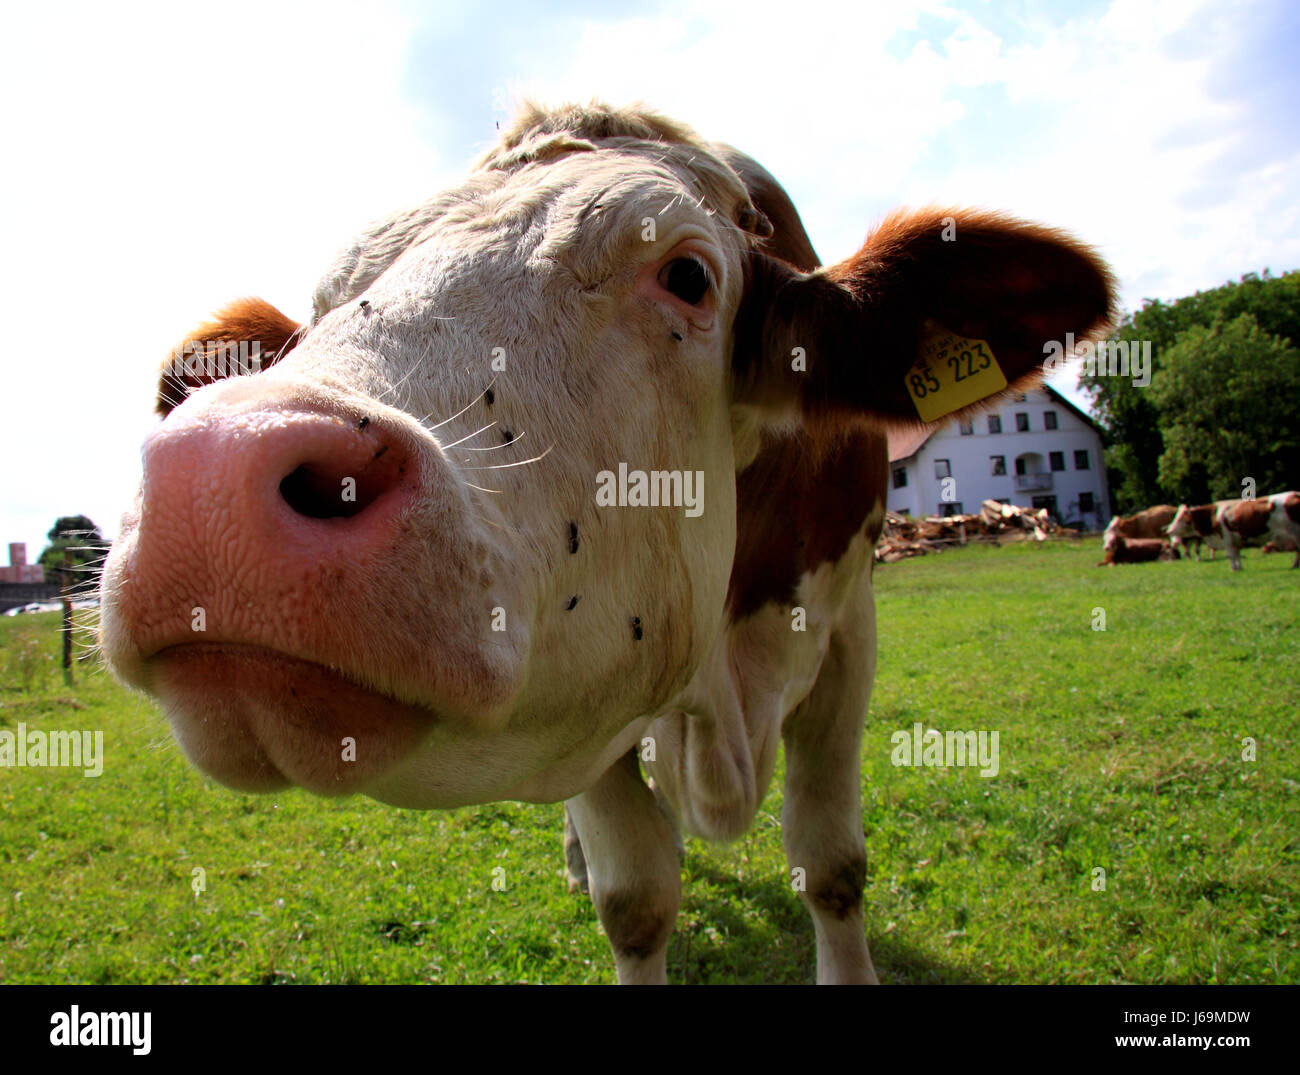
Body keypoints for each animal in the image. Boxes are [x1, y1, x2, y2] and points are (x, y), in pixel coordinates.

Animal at [99, 102, 1115, 984]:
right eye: (325, 304)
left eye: (689, 275)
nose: (213, 473)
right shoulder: (588, 691)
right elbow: (637, 900)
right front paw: (608, 873)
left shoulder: (846, 626)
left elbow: (831, 863)